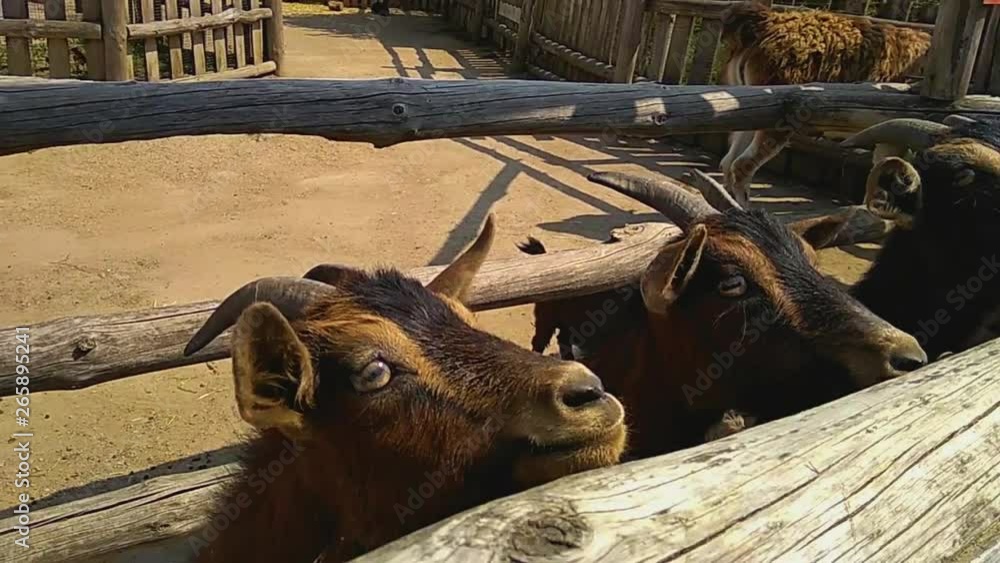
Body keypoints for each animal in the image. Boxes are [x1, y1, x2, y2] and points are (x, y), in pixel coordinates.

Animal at [717, 1, 931, 207]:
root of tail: (766, 23)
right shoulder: (892, 131)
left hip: (749, 107)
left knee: (728, 161)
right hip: (777, 114)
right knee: (741, 165)